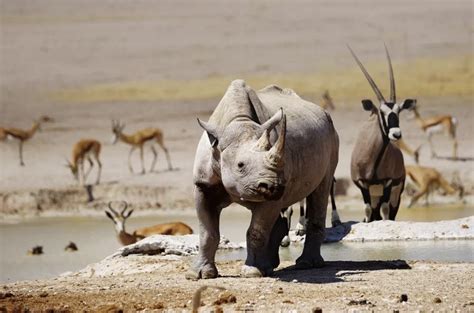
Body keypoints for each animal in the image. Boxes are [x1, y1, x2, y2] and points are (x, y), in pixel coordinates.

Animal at [348, 45, 414, 222]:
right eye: (381, 112)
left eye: (398, 111)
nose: (396, 134)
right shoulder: (362, 183)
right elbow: (367, 210)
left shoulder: (388, 182)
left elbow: (385, 210)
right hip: (374, 194)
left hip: (396, 192)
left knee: (389, 211)